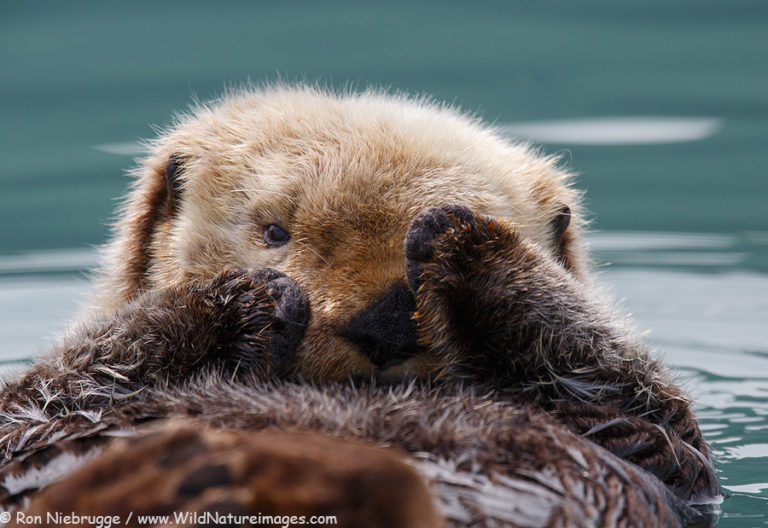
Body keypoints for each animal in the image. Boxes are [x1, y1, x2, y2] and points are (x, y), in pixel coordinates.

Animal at [0, 86, 720, 527]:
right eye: (275, 232)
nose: (384, 323)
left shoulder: (653, 448)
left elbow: (635, 390)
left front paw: (461, 236)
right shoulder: (47, 407)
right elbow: (61, 381)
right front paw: (248, 298)